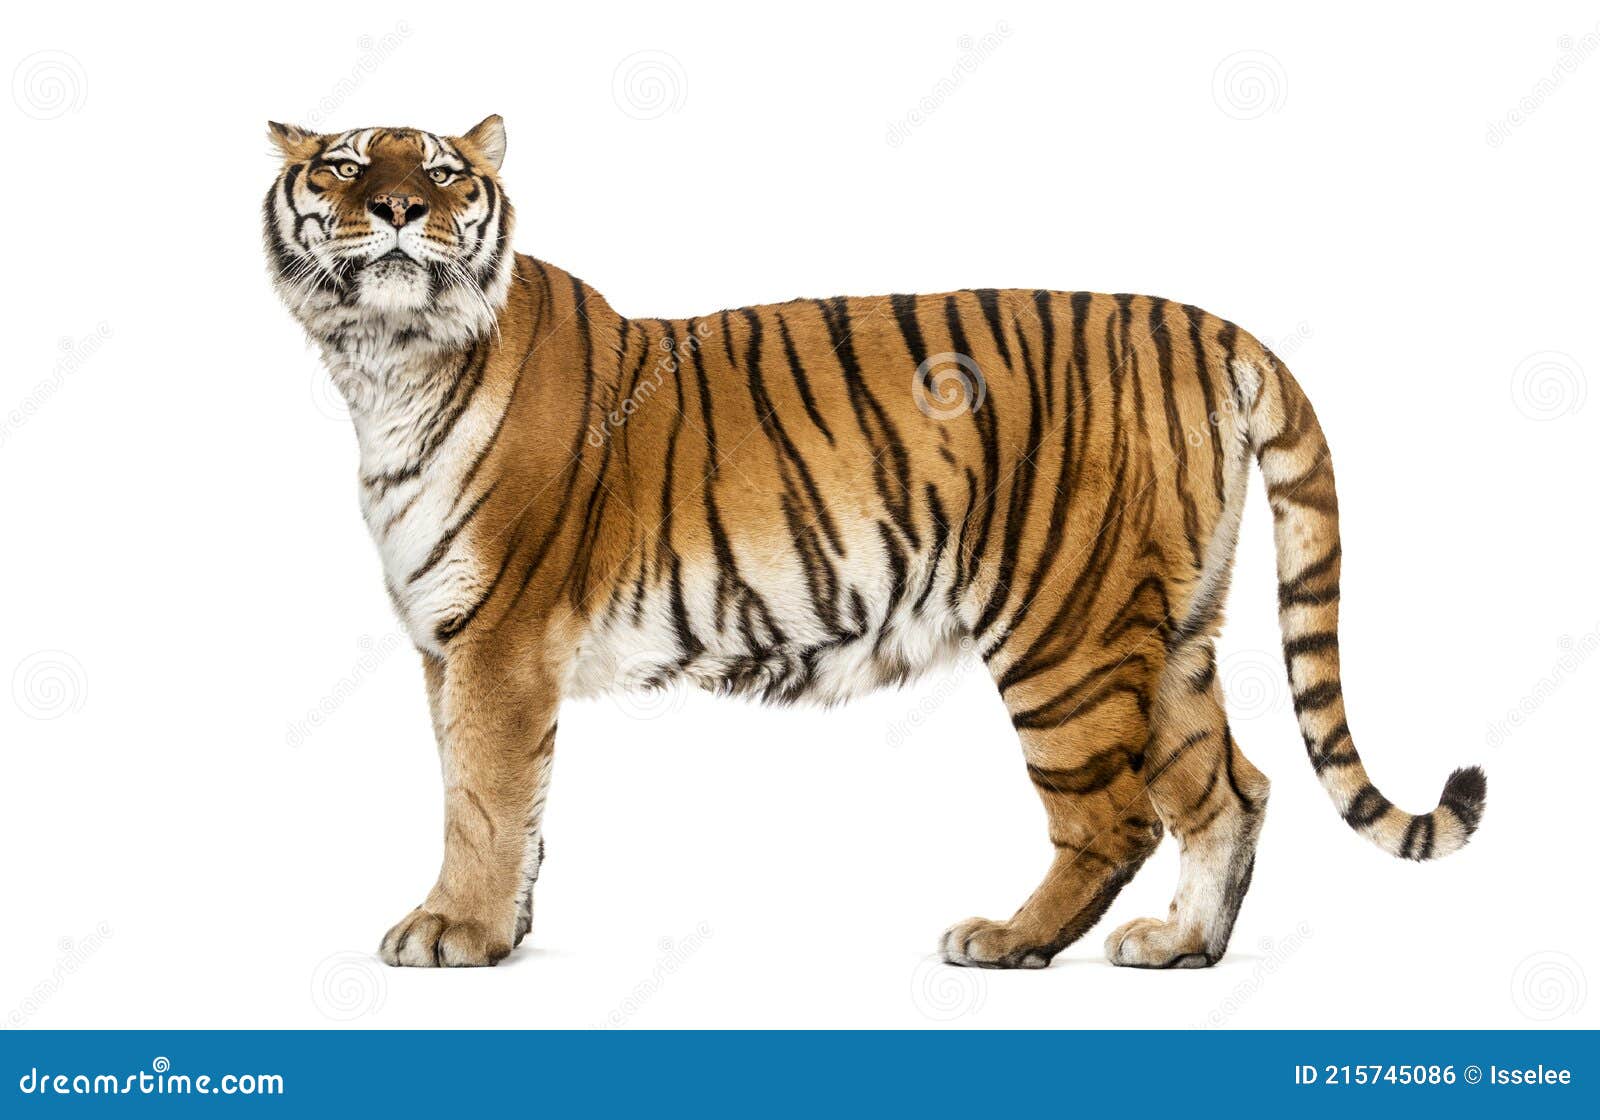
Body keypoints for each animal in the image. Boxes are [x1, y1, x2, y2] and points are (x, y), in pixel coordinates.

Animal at [264, 116, 1486, 970]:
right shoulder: (450, 645)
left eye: (445, 173)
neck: (386, 363)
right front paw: (500, 929)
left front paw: (453, 934)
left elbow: (480, 799)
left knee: (1115, 816)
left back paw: (1008, 941)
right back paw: (1180, 948)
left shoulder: (499, 640)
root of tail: (1207, 326)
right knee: (1232, 788)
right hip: (1172, 630)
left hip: (1067, 632)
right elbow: (507, 800)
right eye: (340, 165)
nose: (396, 207)